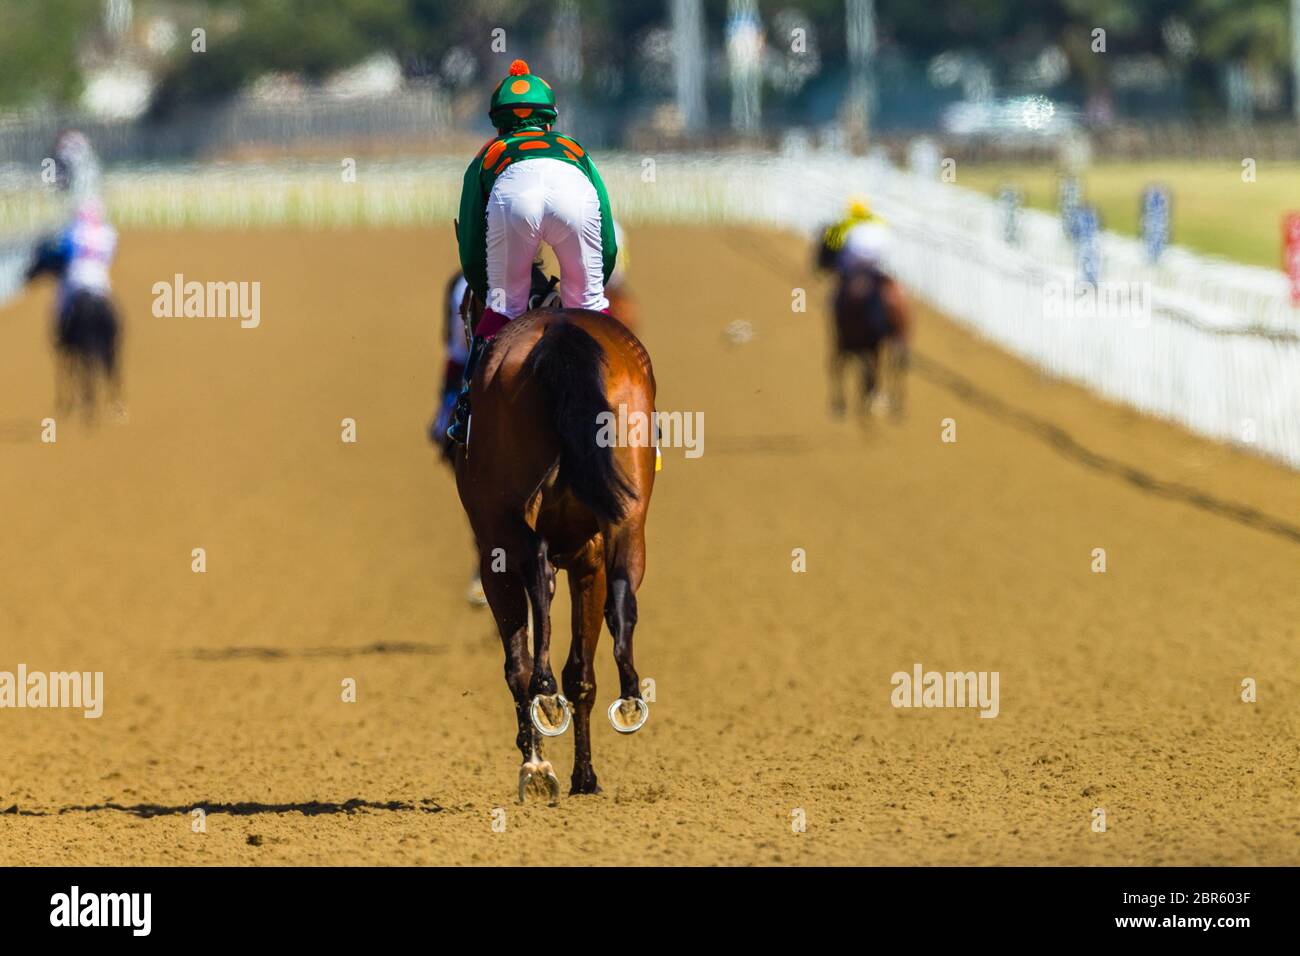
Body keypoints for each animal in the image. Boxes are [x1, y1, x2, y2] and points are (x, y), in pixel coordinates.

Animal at [454, 294, 656, 802]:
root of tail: (558, 331)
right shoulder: (591, 558)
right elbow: (580, 671)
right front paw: (581, 775)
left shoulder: (497, 559)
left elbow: (519, 664)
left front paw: (544, 766)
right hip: (627, 519)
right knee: (620, 599)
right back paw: (629, 694)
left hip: (509, 529)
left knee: (539, 580)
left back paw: (547, 708)